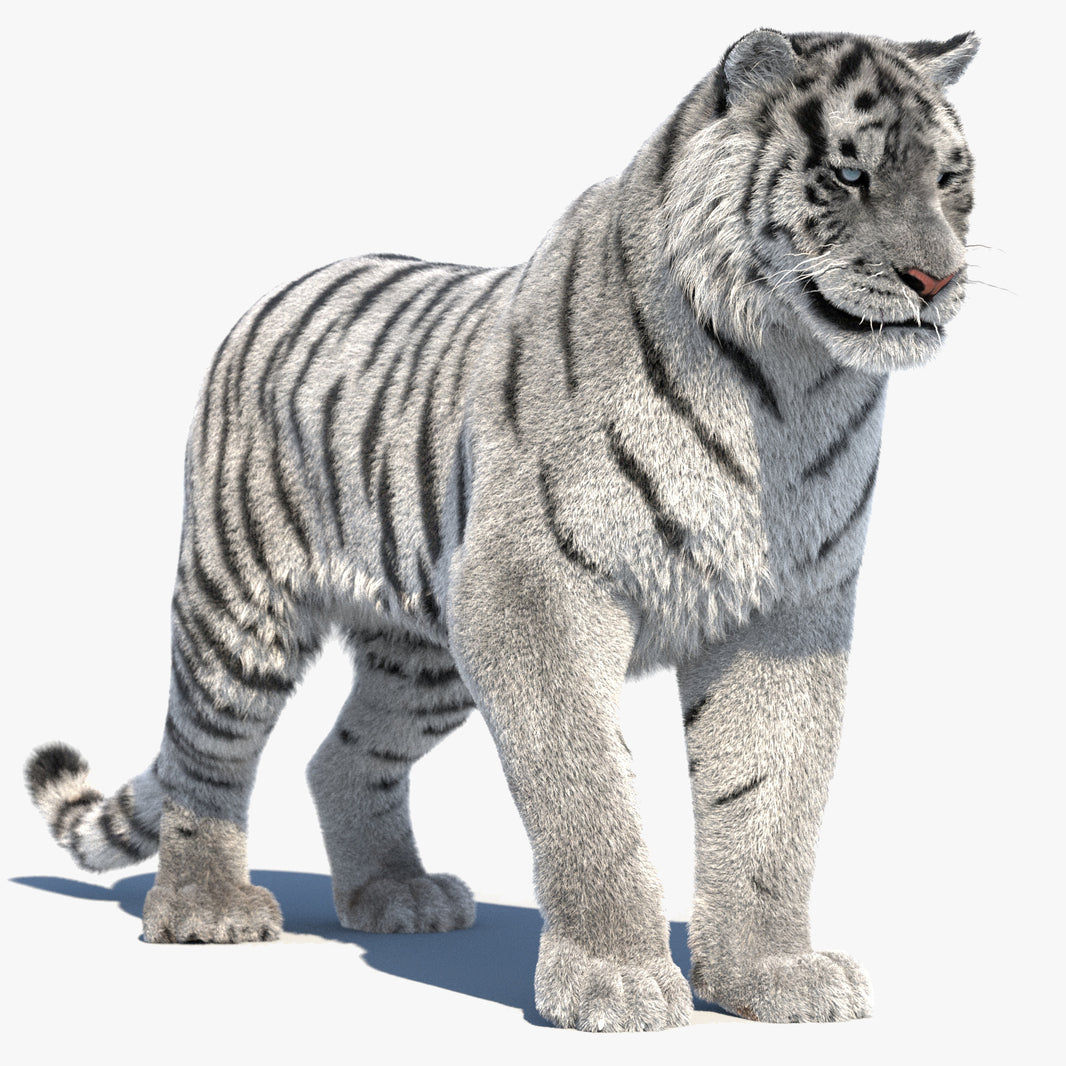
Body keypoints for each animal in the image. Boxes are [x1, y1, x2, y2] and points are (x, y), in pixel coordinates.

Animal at [26, 28, 978, 1032]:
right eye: (848, 174)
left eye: (951, 179)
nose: (939, 278)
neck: (785, 375)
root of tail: (283, 290)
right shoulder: (535, 590)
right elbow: (588, 790)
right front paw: (614, 982)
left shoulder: (790, 609)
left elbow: (767, 798)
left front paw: (772, 975)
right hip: (241, 606)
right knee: (207, 757)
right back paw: (206, 909)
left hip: (428, 655)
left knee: (341, 757)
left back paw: (396, 896)